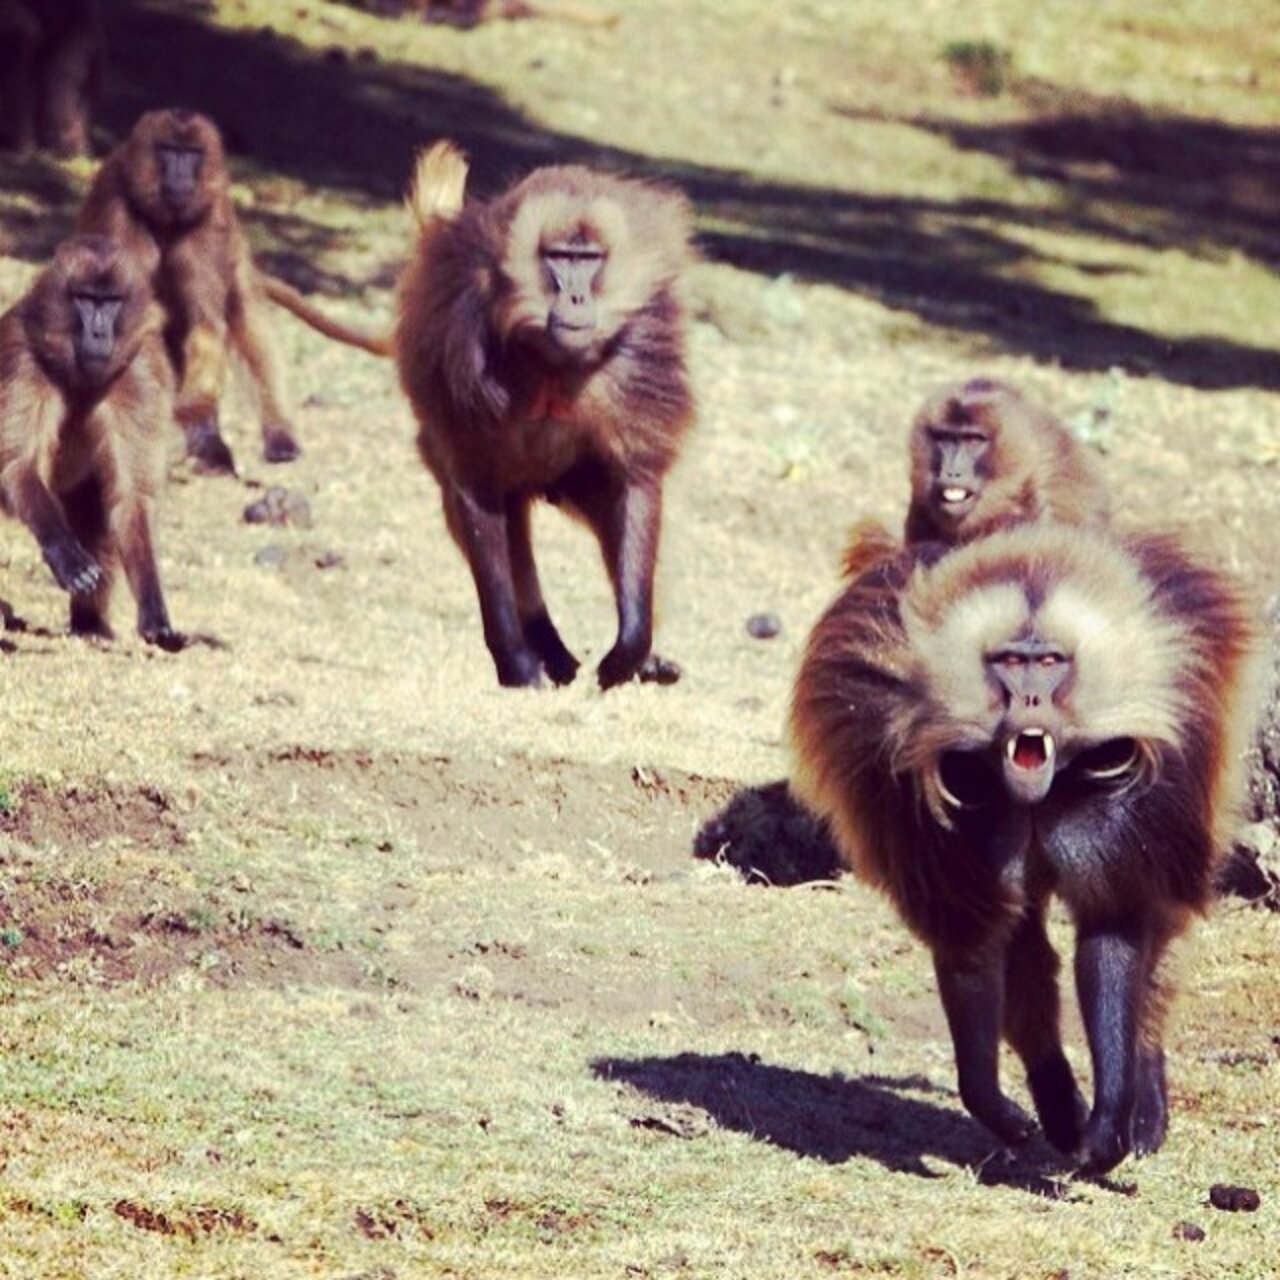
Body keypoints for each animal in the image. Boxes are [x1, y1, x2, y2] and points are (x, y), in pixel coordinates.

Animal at [0, 235, 184, 650]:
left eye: (110, 301)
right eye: (85, 299)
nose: (99, 334)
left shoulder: (140, 370)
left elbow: (131, 497)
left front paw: (154, 614)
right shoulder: (22, 355)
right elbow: (17, 465)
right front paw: (68, 557)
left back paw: (89, 622)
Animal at [75, 109, 300, 475]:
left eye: (191, 154)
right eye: (169, 151)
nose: (180, 175)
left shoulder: (210, 221)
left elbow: (205, 324)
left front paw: (200, 425)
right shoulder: (117, 210)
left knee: (246, 321)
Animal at [394, 141, 694, 689]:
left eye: (588, 259)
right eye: (559, 258)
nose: (576, 298)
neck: (553, 361)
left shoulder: (636, 362)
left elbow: (636, 479)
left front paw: (629, 653)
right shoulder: (464, 348)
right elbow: (476, 495)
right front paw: (516, 664)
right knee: (504, 528)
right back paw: (546, 646)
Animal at [790, 520, 1261, 1174]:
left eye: (1051, 663)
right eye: (1011, 663)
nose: (1030, 701)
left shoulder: (1126, 809)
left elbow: (1112, 932)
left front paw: (1111, 1124)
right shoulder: (943, 813)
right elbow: (976, 940)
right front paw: (997, 1105)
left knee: (1159, 937)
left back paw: (1142, 1101)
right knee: (1023, 942)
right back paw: (1057, 1103)